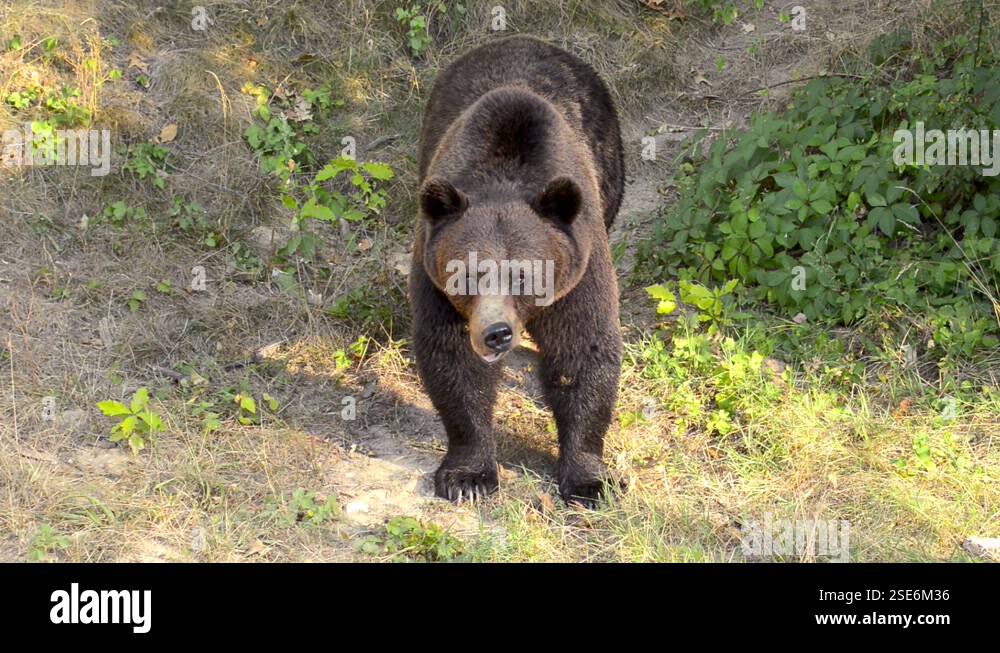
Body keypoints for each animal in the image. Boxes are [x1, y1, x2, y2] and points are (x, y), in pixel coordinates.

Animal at [409, 35, 624, 506]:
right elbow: (455, 363)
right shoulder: (436, 284)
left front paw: (589, 479)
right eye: (468, 274)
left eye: (524, 274)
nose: (497, 333)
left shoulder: (578, 275)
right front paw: (467, 476)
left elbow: (582, 352)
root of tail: (520, 39)